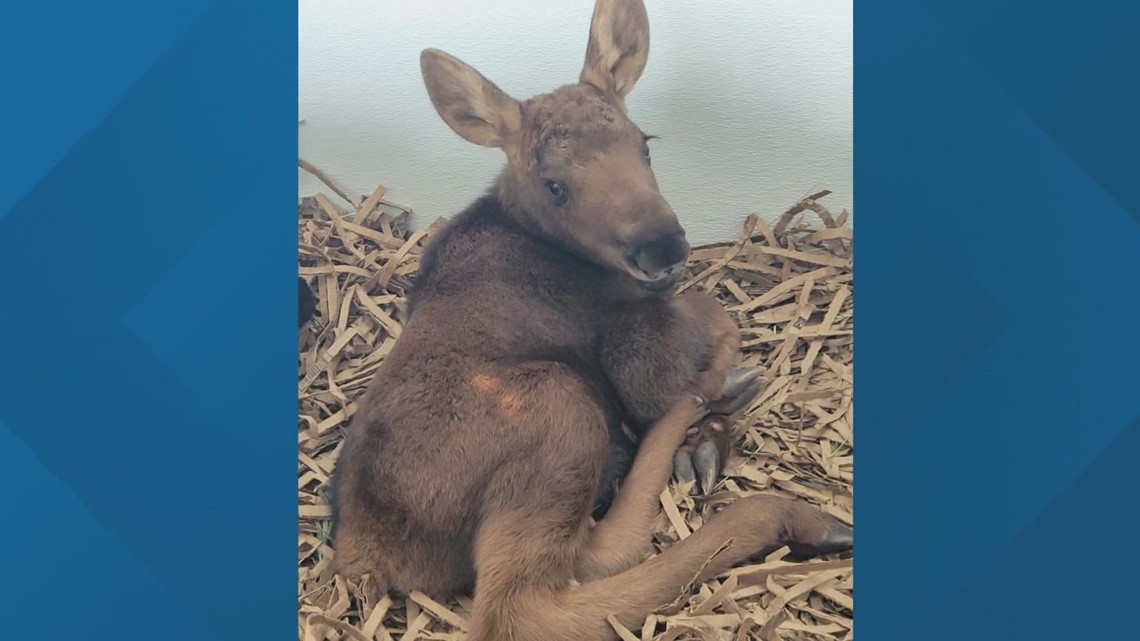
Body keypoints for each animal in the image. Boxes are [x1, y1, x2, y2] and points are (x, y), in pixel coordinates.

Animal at [330, 1, 853, 639]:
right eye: (555, 184)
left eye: (644, 145)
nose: (662, 246)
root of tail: (369, 558)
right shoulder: (643, 330)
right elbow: (713, 319)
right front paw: (716, 387)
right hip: (562, 407)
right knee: (540, 593)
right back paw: (773, 492)